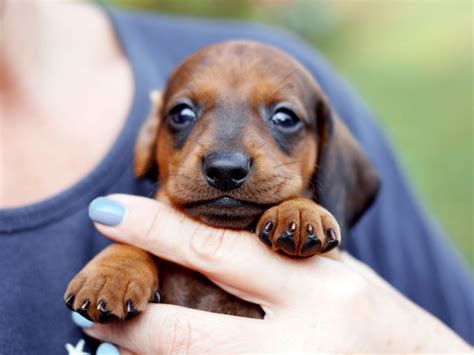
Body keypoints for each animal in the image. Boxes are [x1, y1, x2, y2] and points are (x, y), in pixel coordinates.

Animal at [65, 39, 380, 322]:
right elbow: (136, 243)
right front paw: (112, 272)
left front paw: (300, 211)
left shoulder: (333, 263)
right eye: (181, 113)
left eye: (285, 118)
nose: (226, 170)